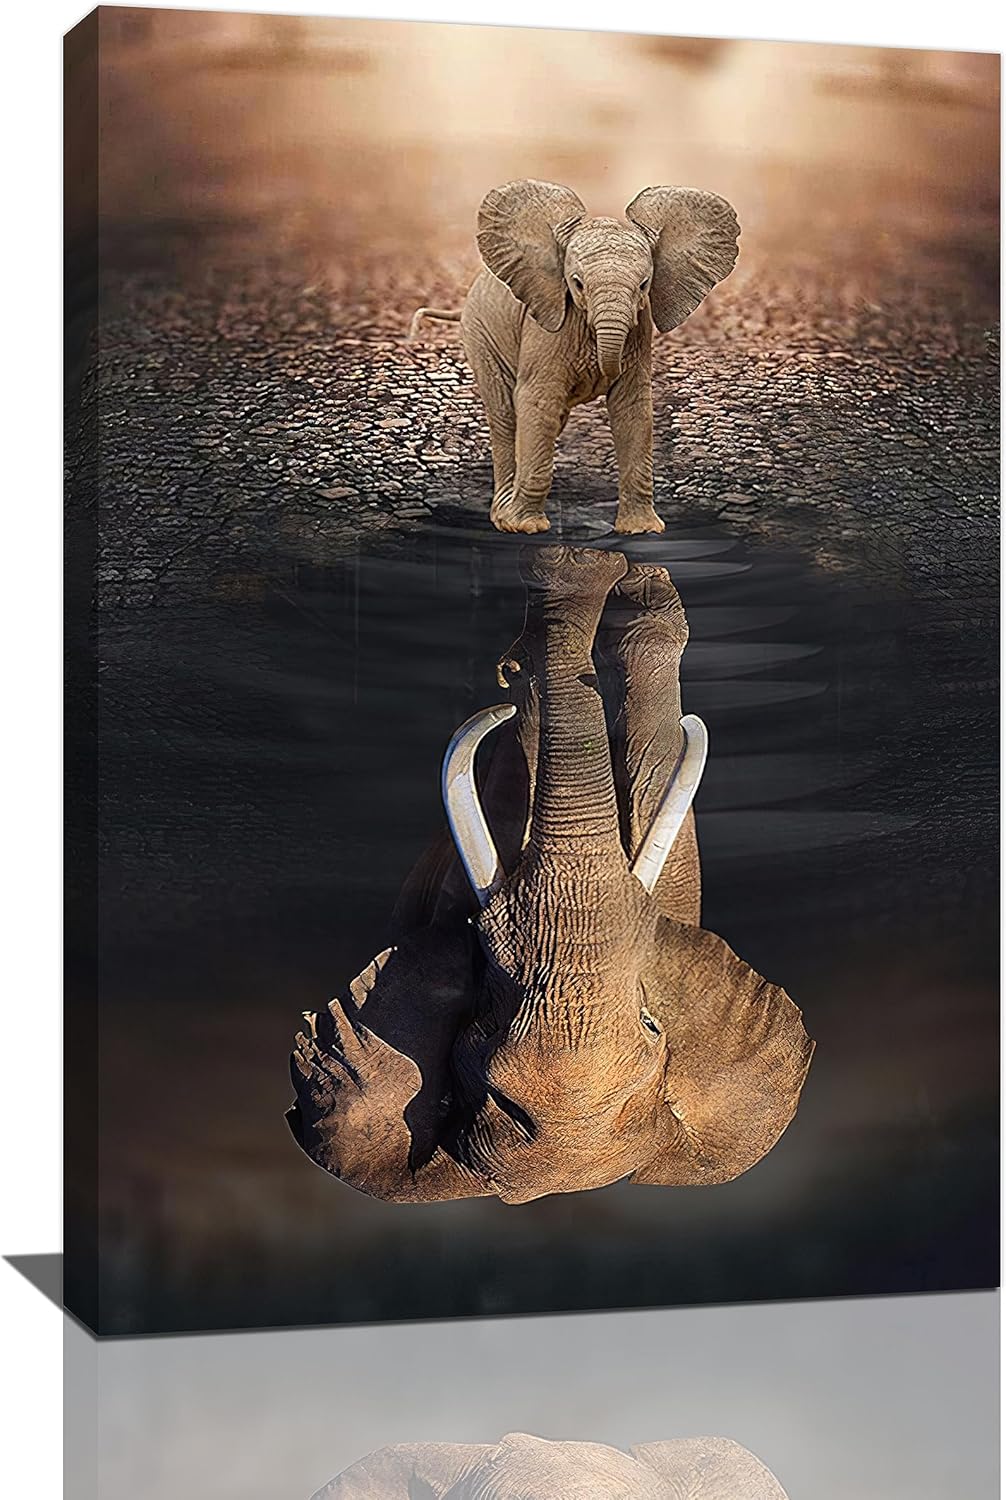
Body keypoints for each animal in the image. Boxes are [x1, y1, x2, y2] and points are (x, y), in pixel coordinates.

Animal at [411, 179, 740, 536]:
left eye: (644, 285)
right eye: (577, 284)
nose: (604, 367)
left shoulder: (640, 329)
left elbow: (632, 408)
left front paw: (642, 531)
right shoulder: (547, 327)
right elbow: (537, 402)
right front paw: (526, 528)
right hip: (480, 335)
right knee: (506, 414)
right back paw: (503, 517)